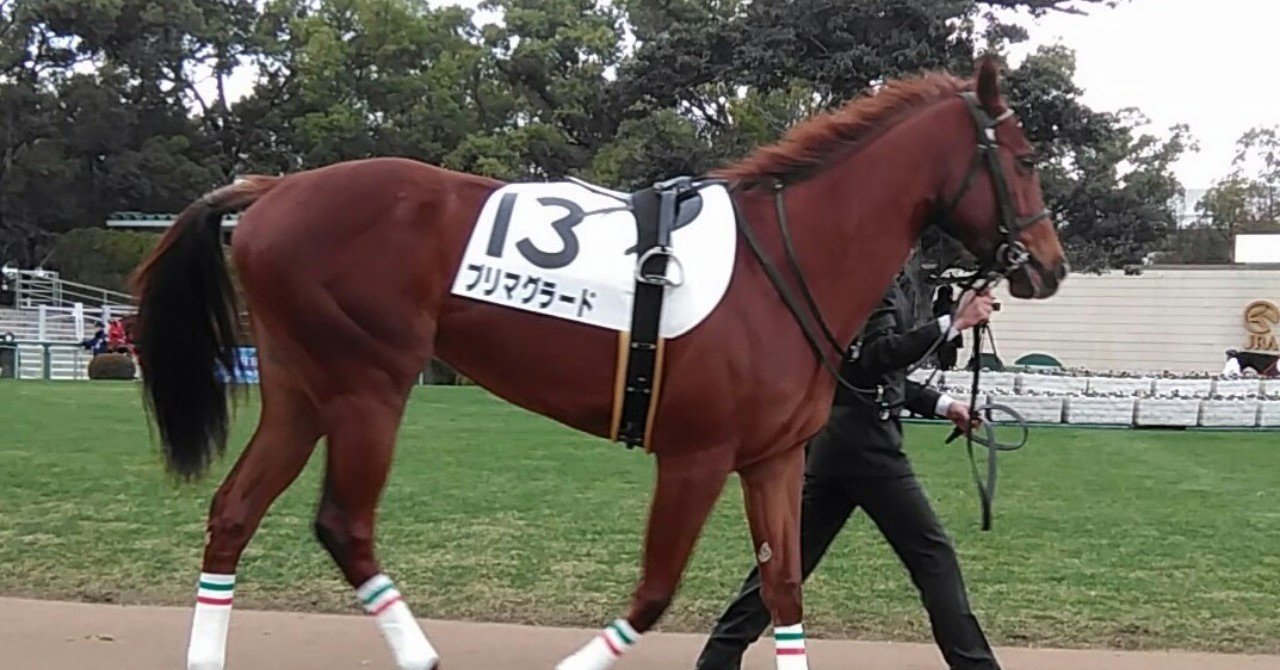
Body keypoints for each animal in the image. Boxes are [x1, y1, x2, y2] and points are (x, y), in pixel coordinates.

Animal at [132, 55, 1067, 670]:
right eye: (1024, 159)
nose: (1050, 266)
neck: (783, 259)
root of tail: (273, 190)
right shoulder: (694, 457)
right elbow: (655, 591)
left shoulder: (772, 461)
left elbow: (783, 593)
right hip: (369, 387)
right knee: (344, 525)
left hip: (300, 389)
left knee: (234, 512)